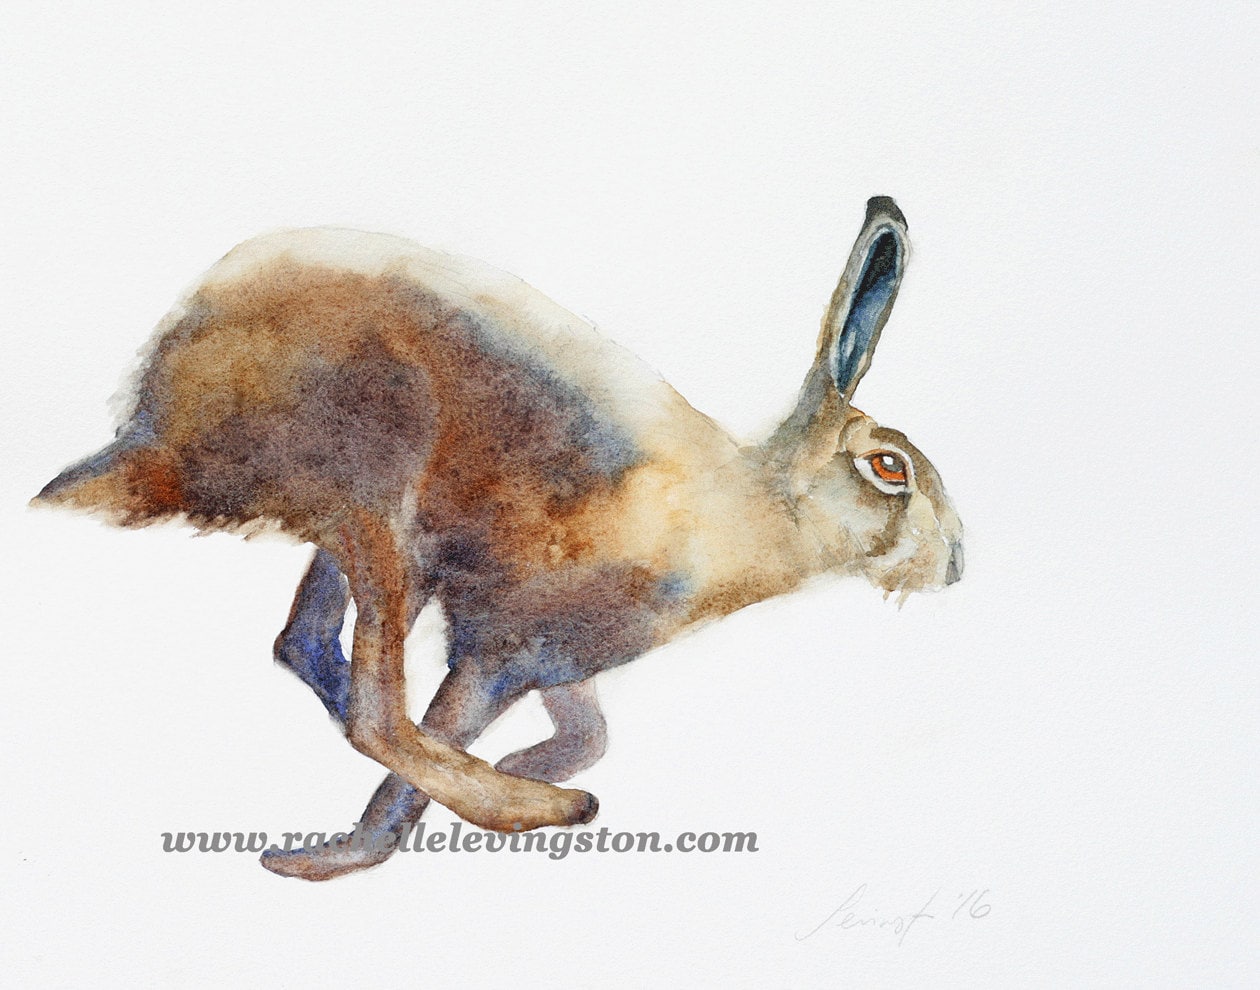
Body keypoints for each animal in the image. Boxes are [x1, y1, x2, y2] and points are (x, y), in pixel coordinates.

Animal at [33, 196, 963, 880]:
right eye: (889, 468)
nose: (956, 564)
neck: (759, 507)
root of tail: (152, 426)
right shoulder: (499, 642)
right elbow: (449, 732)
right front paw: (359, 848)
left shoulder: (563, 661)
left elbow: (589, 738)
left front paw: (517, 764)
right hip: (377, 480)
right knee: (375, 711)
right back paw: (518, 813)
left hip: (364, 532)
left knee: (306, 645)